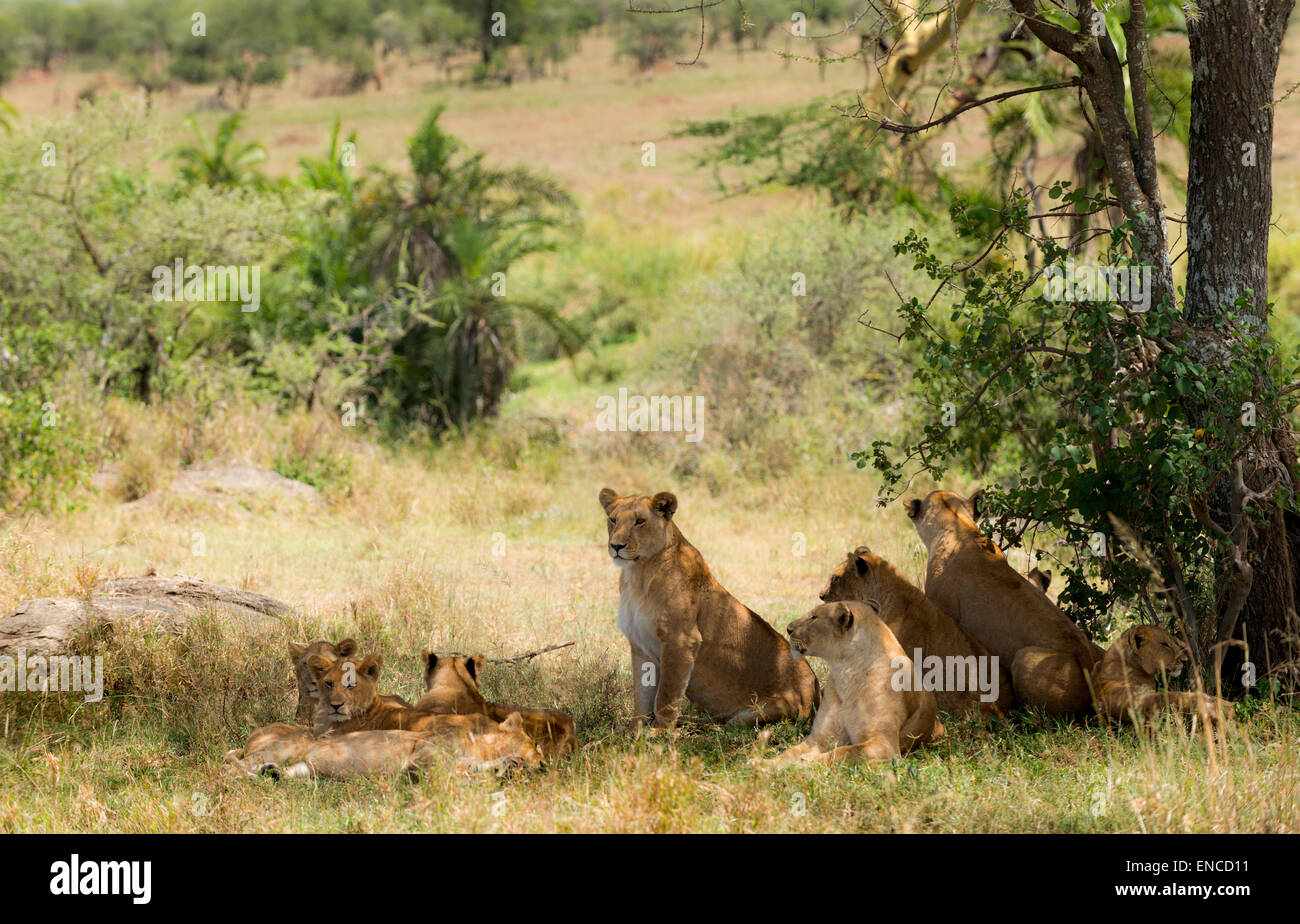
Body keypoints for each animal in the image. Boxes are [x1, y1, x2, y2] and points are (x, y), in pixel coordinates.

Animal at [599, 488, 819, 729]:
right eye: (613, 520)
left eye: (639, 521)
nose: (616, 546)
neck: (638, 575)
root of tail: (815, 697)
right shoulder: (639, 644)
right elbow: (642, 695)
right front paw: (635, 728)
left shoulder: (681, 639)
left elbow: (666, 694)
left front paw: (659, 732)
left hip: (762, 710)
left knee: (725, 725)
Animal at [759, 601, 943, 767]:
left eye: (814, 617)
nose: (788, 629)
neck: (846, 672)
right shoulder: (820, 737)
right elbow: (790, 753)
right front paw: (763, 765)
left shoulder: (885, 745)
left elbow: (841, 752)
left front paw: (803, 764)